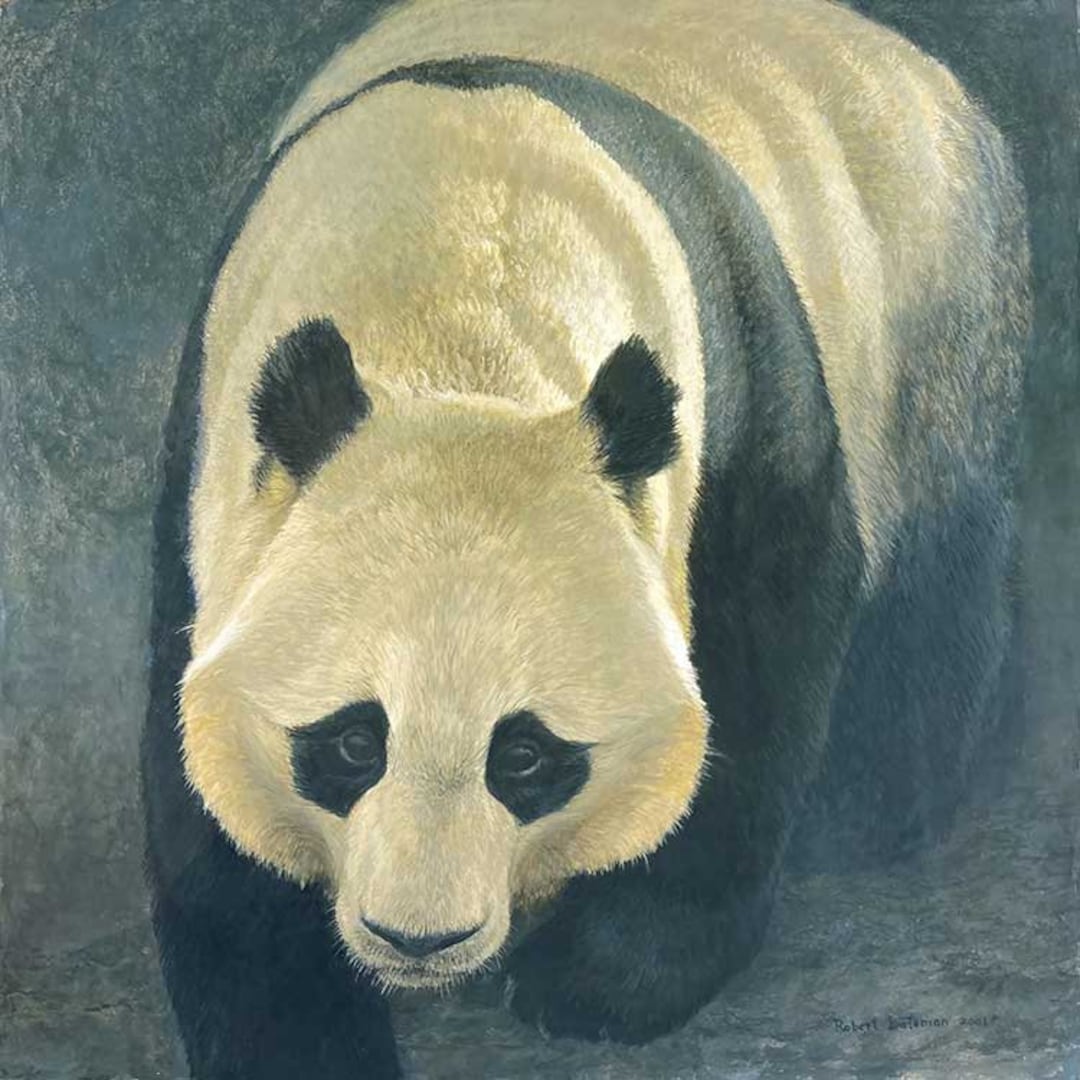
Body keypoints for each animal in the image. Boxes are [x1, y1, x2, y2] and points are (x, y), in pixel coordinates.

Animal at [141, 1, 1030, 1076]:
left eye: (525, 755)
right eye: (352, 741)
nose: (419, 940)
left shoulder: (741, 380)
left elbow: (760, 660)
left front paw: (600, 980)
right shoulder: (218, 473)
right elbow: (205, 794)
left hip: (931, 328)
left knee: (933, 596)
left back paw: (882, 803)